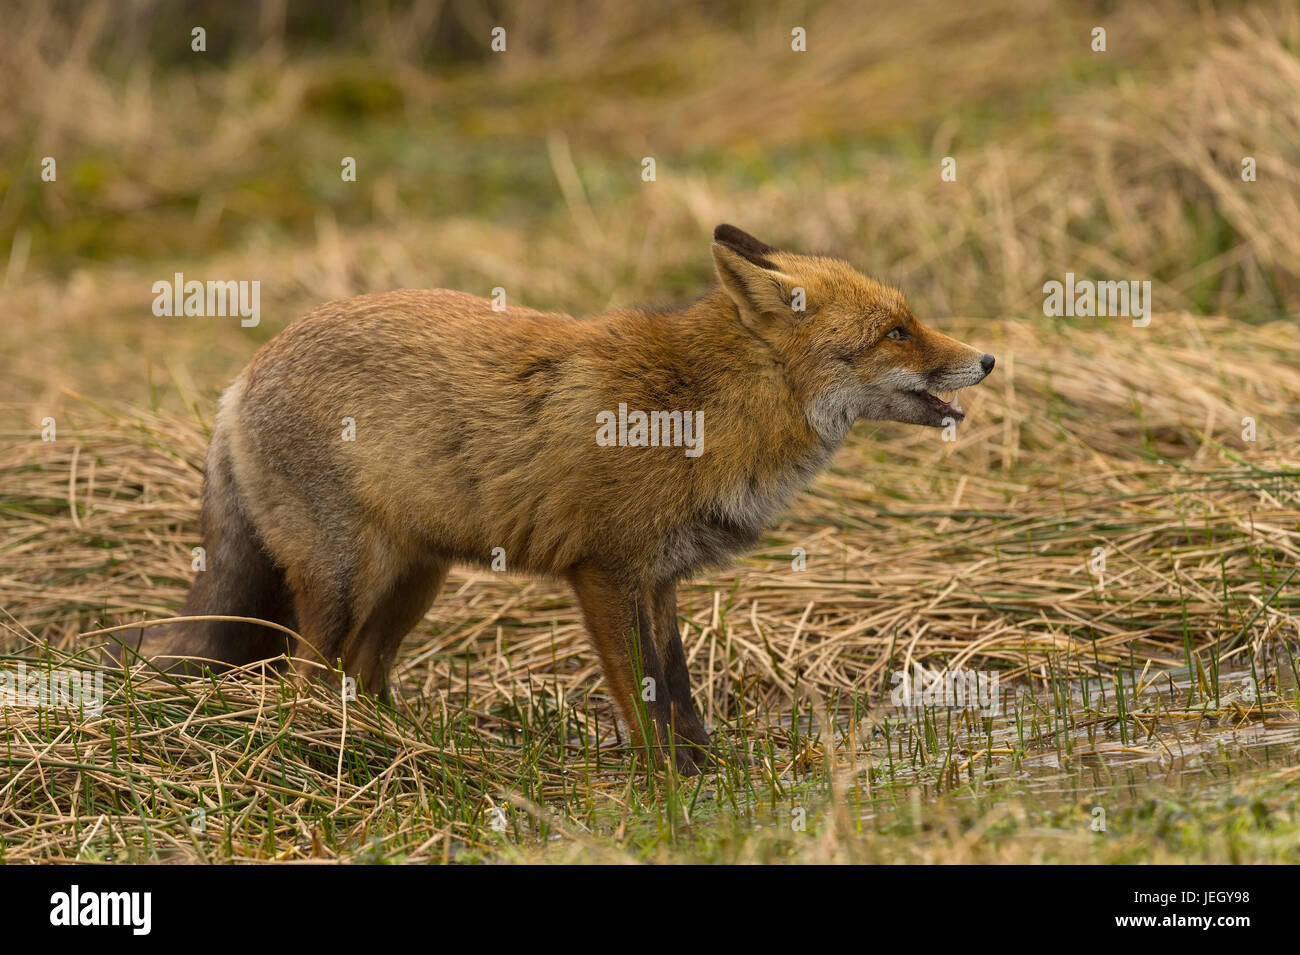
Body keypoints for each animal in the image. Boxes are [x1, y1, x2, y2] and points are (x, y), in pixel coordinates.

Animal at [118, 224, 994, 775]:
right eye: (896, 332)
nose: (987, 359)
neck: (706, 406)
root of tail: (239, 378)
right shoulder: (604, 571)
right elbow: (641, 689)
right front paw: (666, 783)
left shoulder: (659, 577)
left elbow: (678, 685)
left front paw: (707, 770)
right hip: (342, 578)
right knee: (305, 677)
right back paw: (335, 754)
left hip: (410, 582)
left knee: (360, 675)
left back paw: (398, 750)